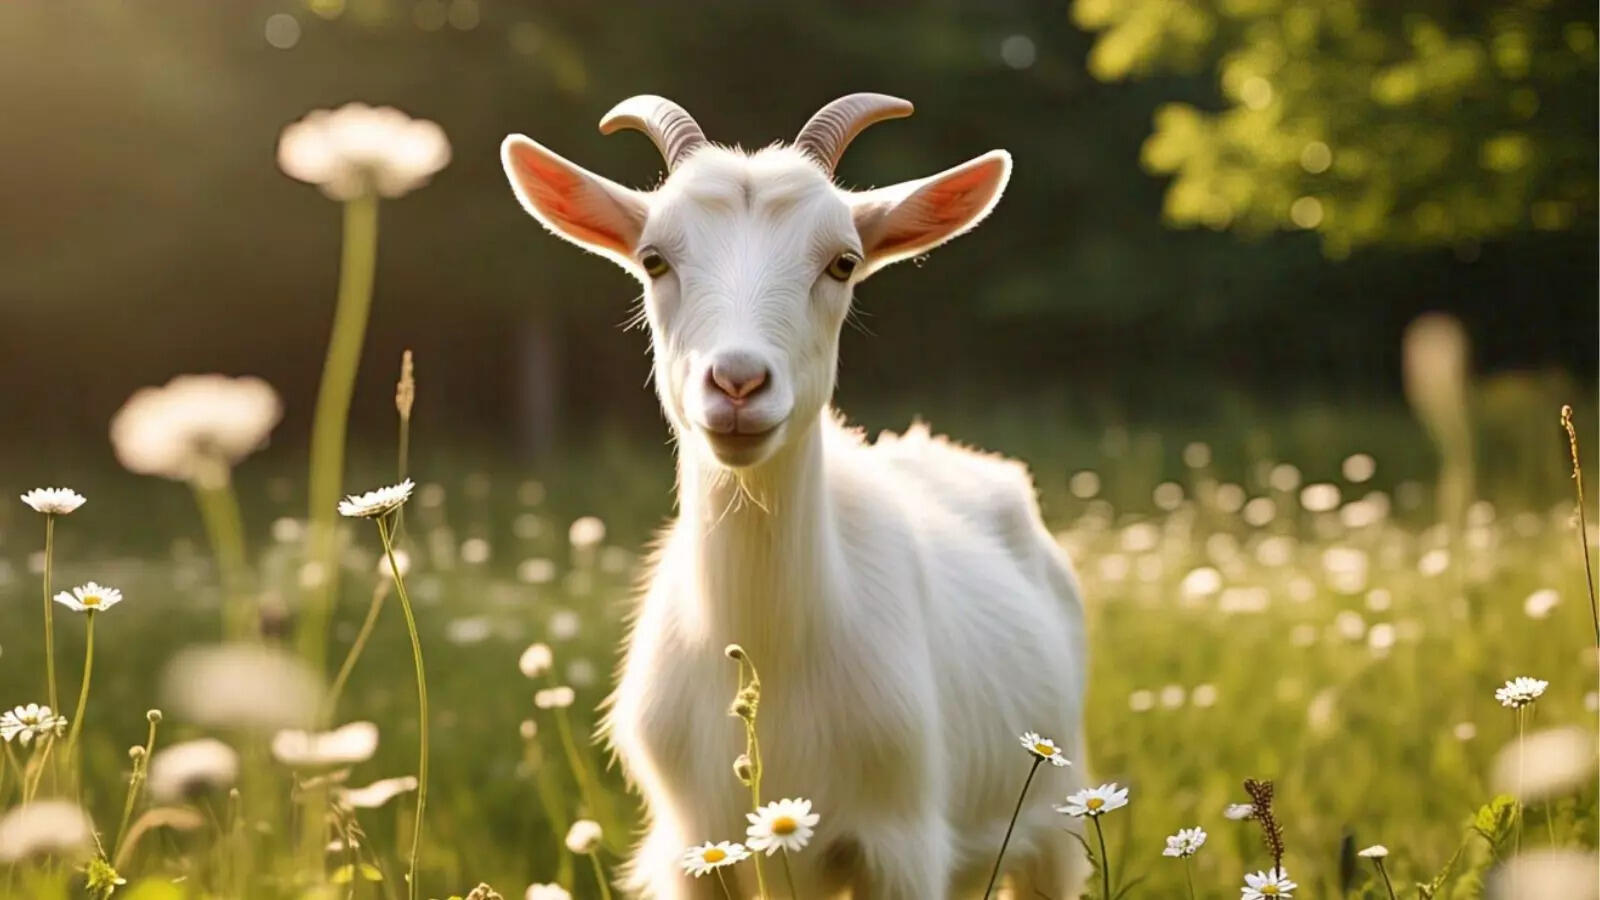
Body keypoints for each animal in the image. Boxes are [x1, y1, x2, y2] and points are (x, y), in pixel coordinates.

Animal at [501, 94, 1086, 899]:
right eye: (654, 260)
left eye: (842, 262)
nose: (738, 383)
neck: (771, 652)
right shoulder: (694, 848)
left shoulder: (901, 845)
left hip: (1053, 811)